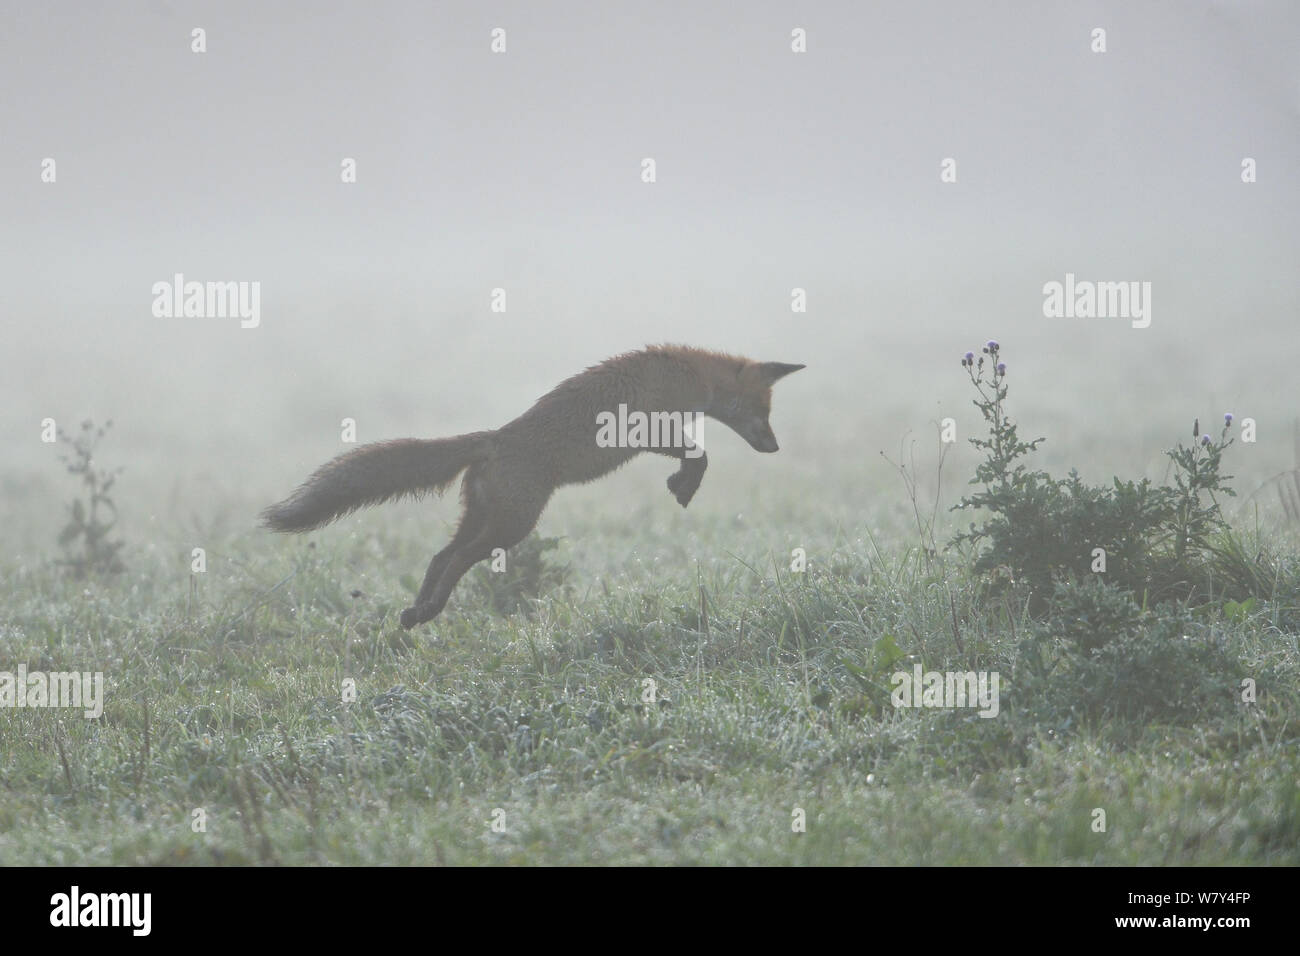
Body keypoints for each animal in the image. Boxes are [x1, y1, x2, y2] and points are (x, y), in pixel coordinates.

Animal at [262, 344, 804, 628]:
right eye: (763, 412)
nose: (776, 447)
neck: (691, 371)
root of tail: (494, 438)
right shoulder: (652, 430)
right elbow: (699, 455)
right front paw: (684, 485)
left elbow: (698, 453)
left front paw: (683, 484)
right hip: (512, 527)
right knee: (456, 560)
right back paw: (428, 610)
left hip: (487, 519)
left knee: (440, 557)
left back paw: (419, 611)